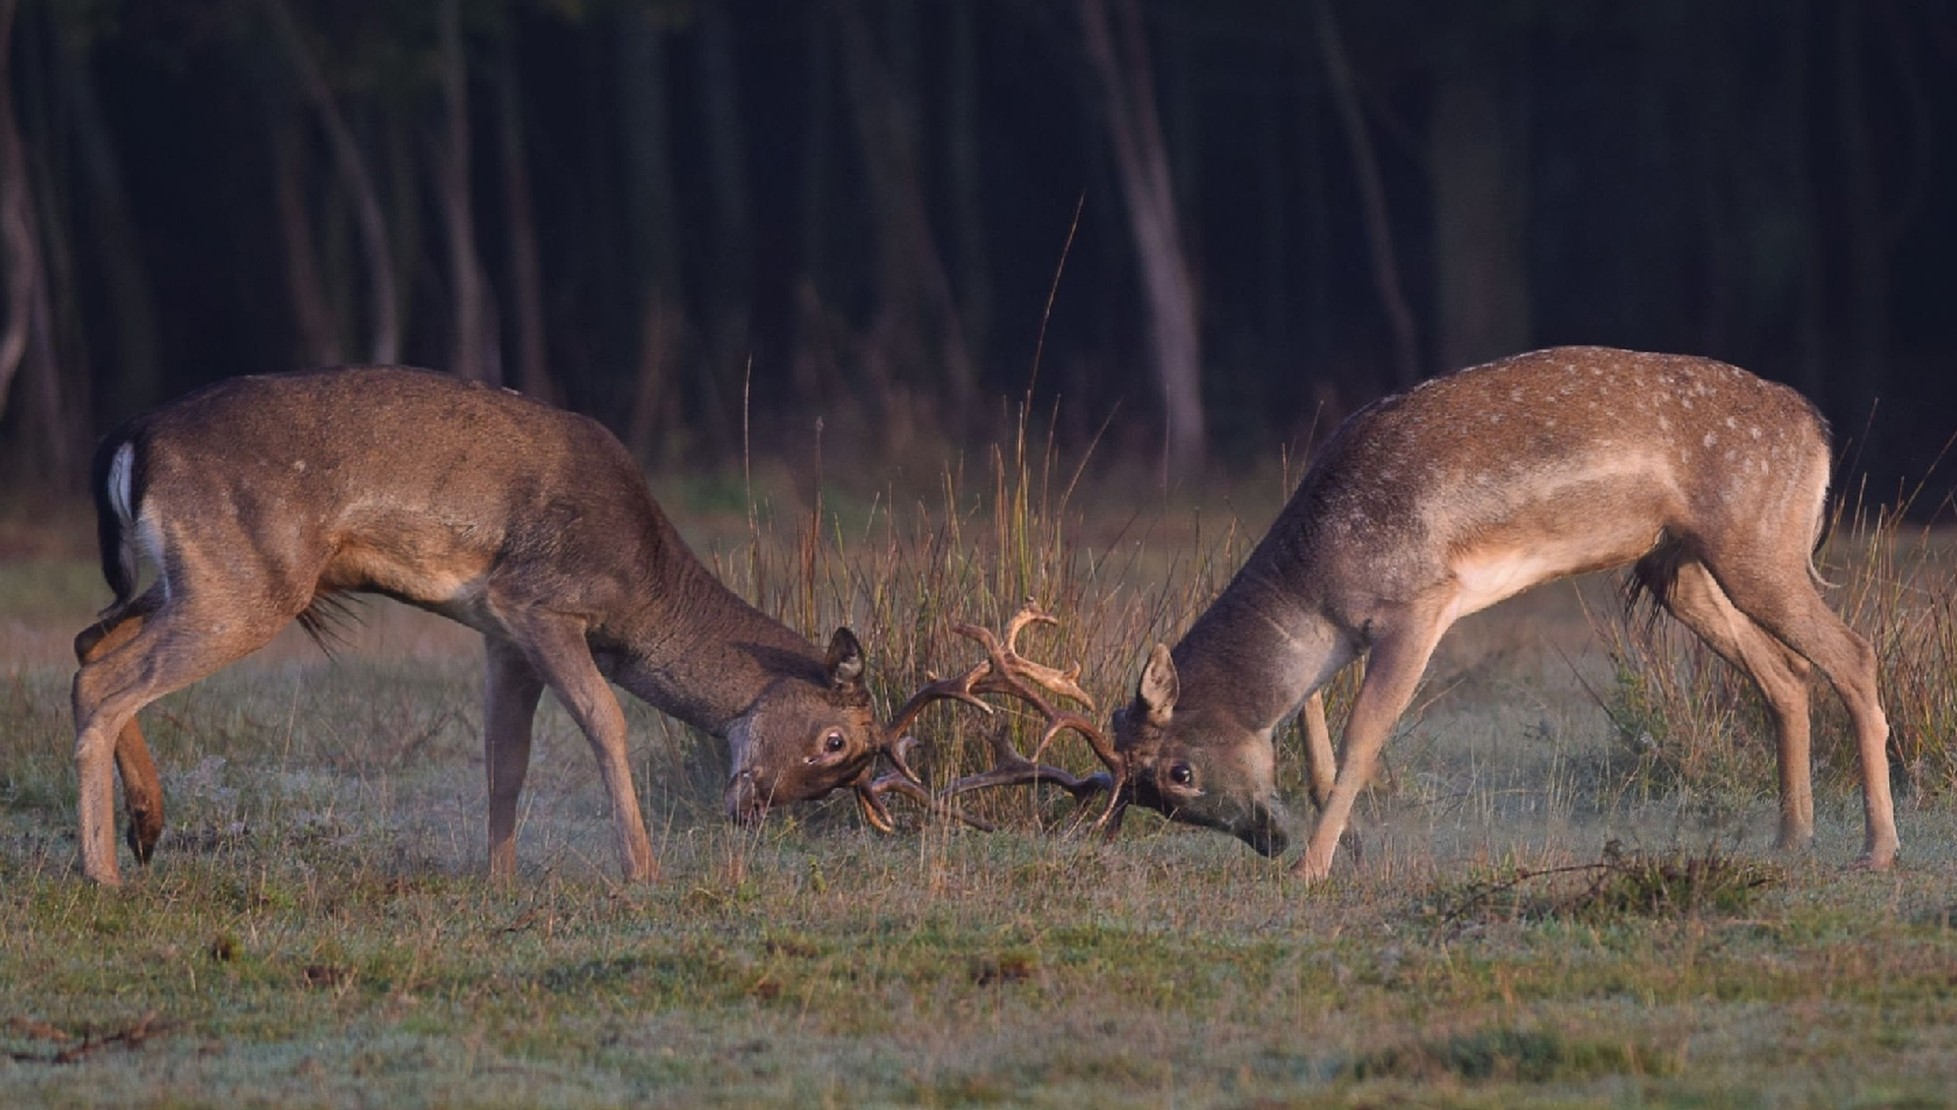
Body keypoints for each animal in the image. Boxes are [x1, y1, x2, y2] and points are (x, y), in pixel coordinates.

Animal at [70, 366, 923, 886]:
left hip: (195, 575)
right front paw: (642, 870)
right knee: (105, 680)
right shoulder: (536, 599)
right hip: (245, 578)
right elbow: (605, 722)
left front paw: (500, 878)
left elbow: (503, 756)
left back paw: (146, 828)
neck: (642, 584)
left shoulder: (500, 634)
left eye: (847, 772)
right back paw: (102, 870)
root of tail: (130, 440)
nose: (750, 810)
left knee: (88, 643)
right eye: (834, 741)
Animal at [1100, 346, 1898, 881]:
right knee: (1788, 676)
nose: (1266, 839)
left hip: (1756, 543)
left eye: (1177, 773)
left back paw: (1876, 849)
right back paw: (1790, 839)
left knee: (1855, 653)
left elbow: (1362, 738)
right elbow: (1310, 724)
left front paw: (1313, 869)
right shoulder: (1346, 639)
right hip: (1679, 568)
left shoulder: (1420, 603)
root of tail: (1819, 430)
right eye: (1148, 797)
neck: (1317, 590)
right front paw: (1347, 848)